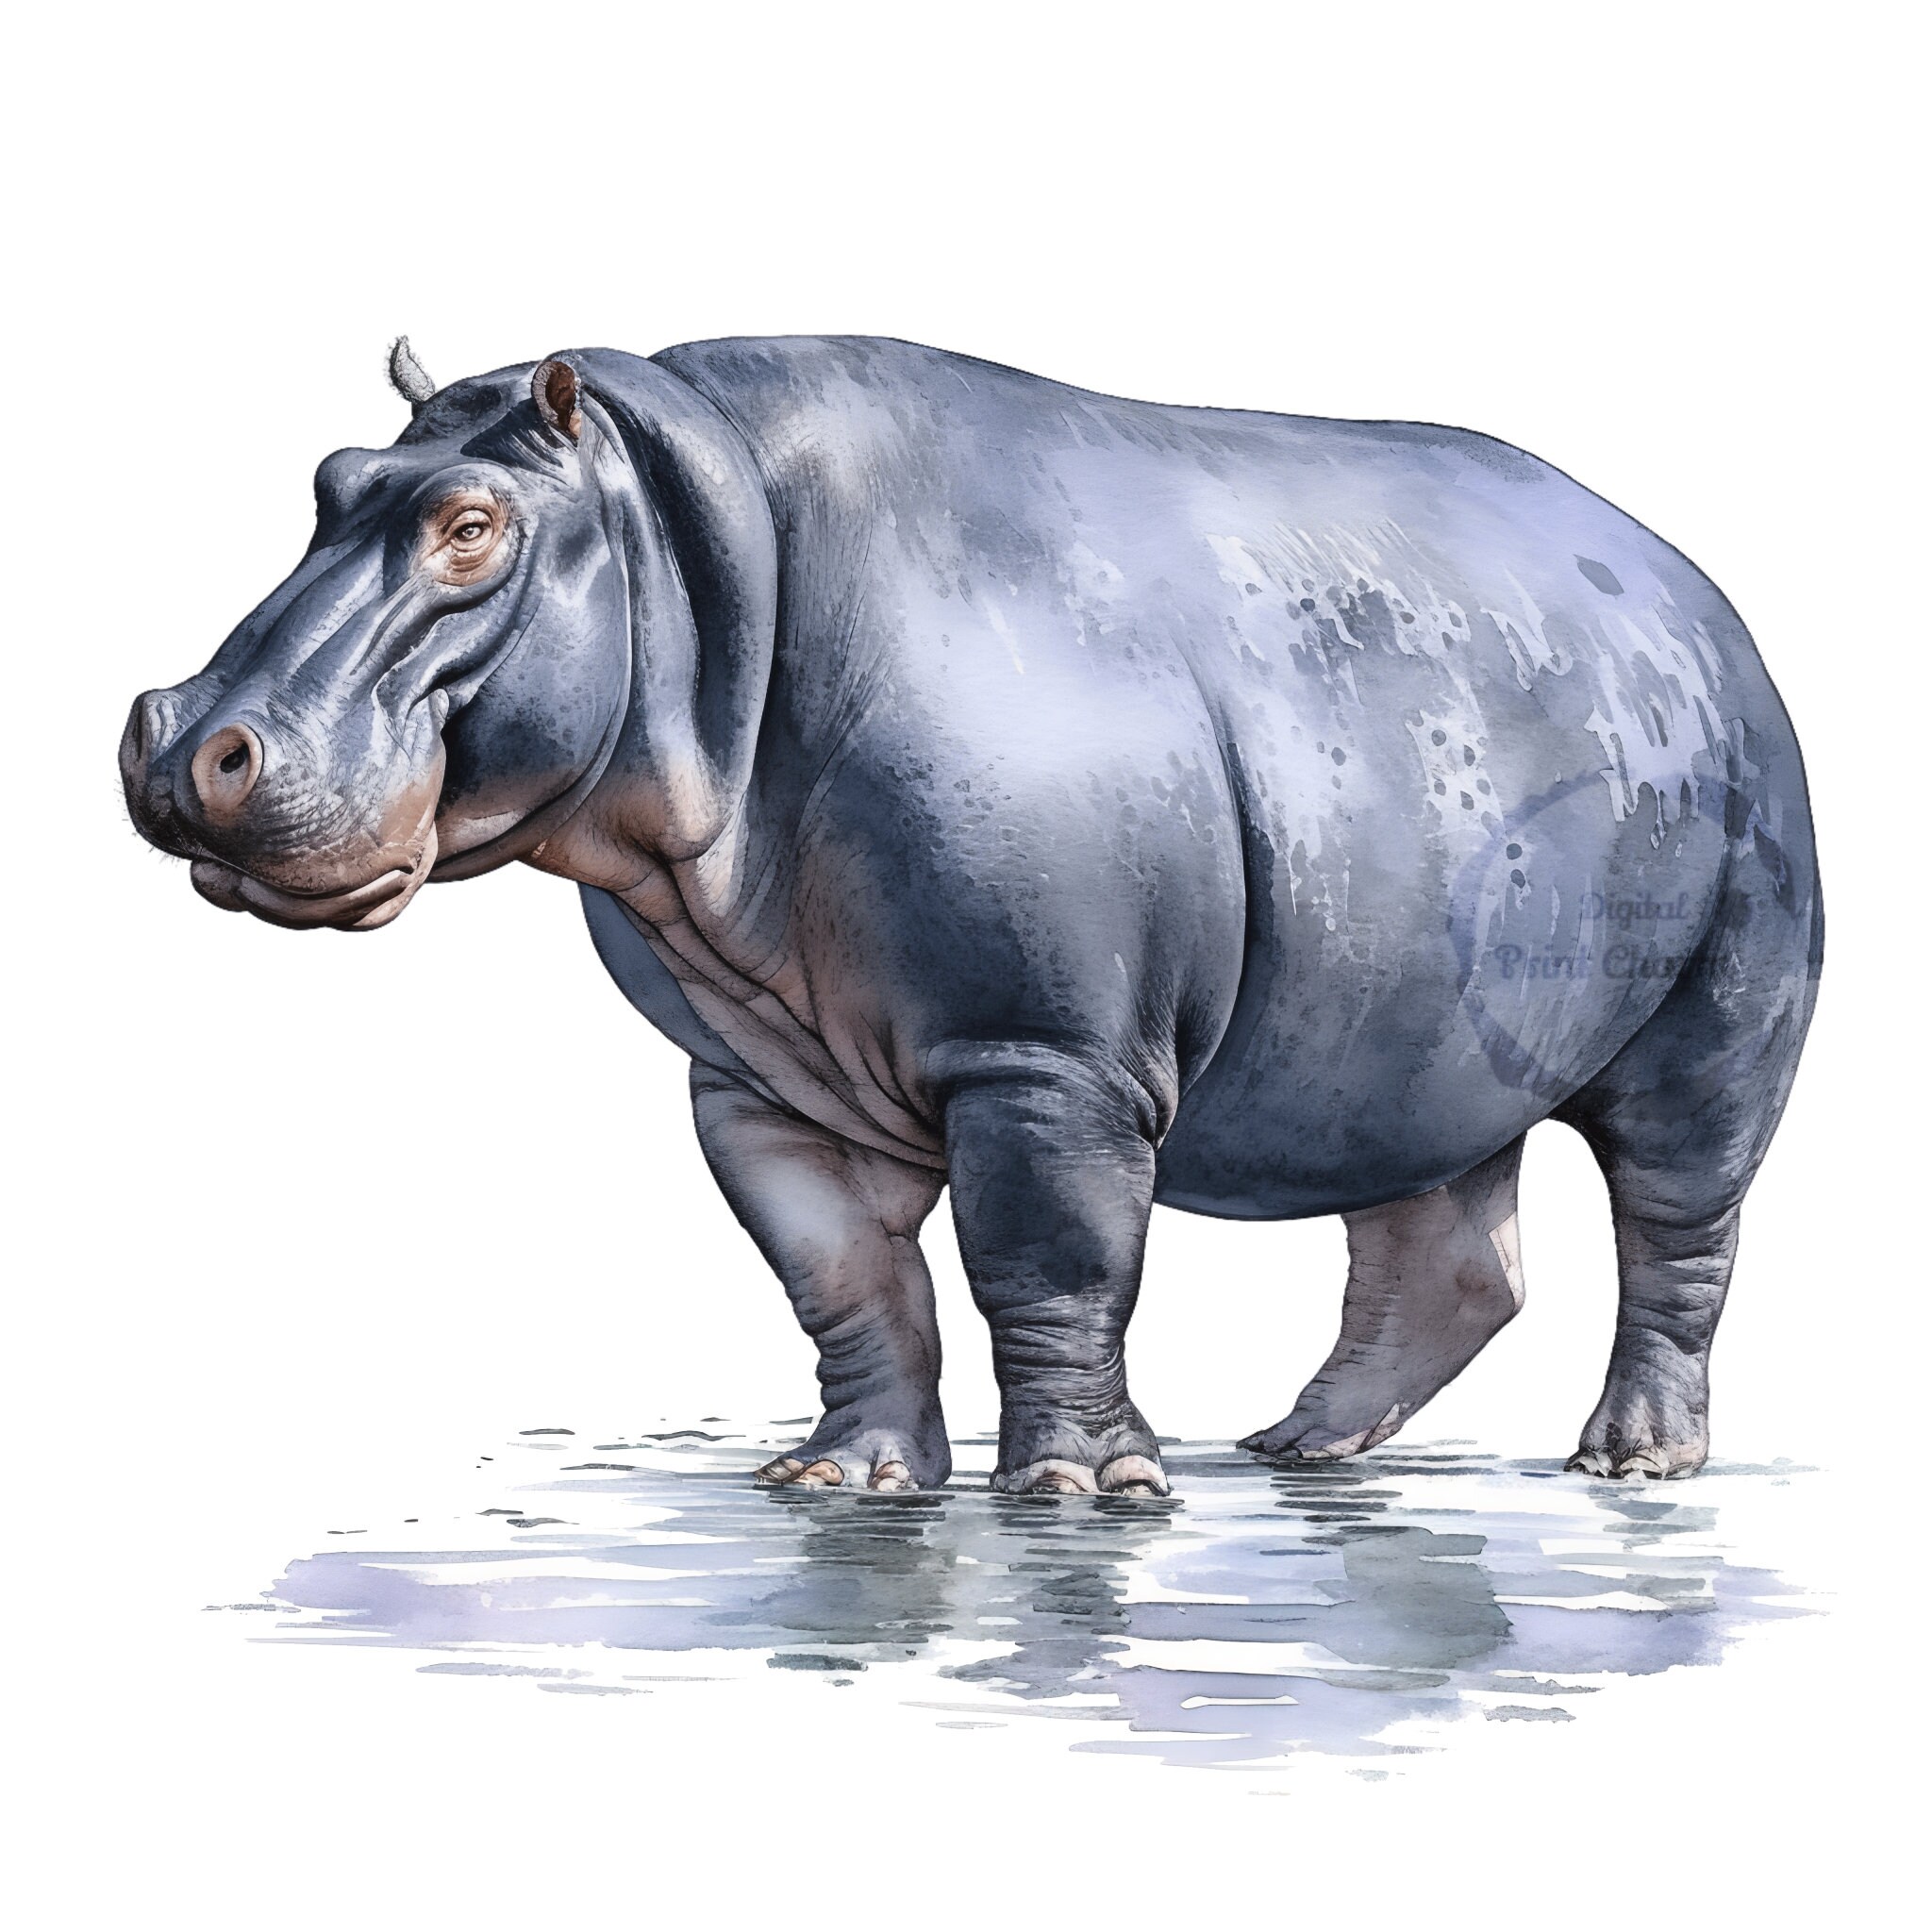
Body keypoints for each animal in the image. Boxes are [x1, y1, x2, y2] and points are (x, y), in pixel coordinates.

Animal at [120, 335, 1822, 1496]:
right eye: (331, 480)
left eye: (471, 526)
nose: (181, 736)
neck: (693, 555)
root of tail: (1696, 589)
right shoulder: (758, 1075)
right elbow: (841, 1278)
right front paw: (841, 1481)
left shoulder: (1041, 1051)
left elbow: (1047, 1263)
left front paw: (1078, 1492)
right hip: (1408, 1012)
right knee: (1437, 1218)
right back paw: (1297, 1448)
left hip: (1723, 981)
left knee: (1679, 1209)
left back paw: (1629, 1462)